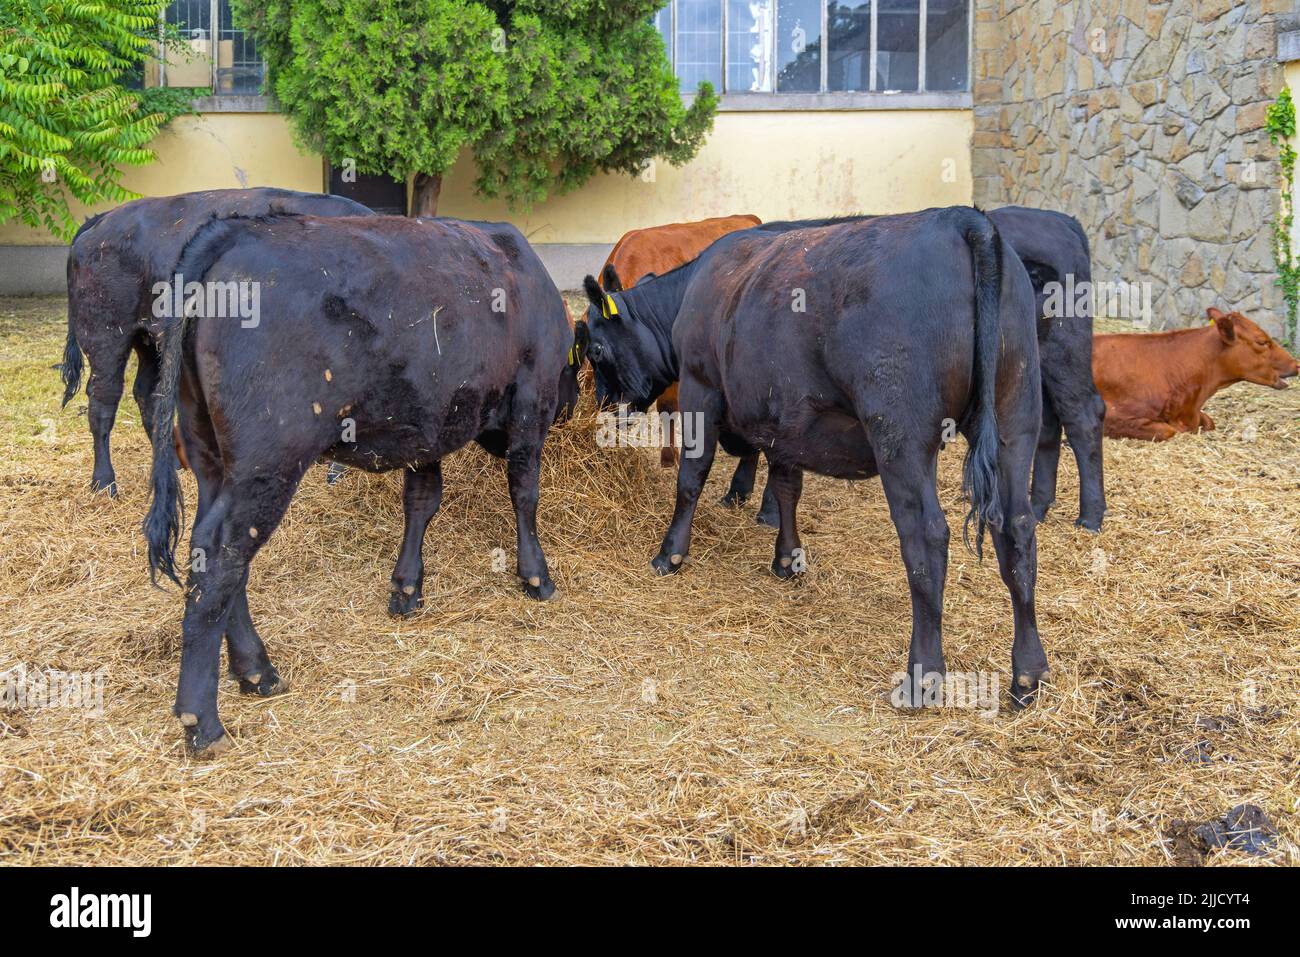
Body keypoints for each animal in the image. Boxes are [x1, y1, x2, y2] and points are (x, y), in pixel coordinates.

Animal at [62, 188, 374, 496]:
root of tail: (102, 220)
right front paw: (335, 470)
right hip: (105, 335)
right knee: (103, 400)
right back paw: (104, 483)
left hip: (149, 338)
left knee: (146, 393)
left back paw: (173, 463)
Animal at [143, 213, 578, 756]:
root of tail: (231, 230)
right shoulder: (530, 404)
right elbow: (524, 491)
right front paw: (536, 575)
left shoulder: (427, 425)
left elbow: (422, 501)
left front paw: (407, 588)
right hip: (269, 460)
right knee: (221, 555)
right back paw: (202, 720)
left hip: (211, 459)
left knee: (218, 554)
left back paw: (257, 671)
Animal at [575, 207, 1049, 706]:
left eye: (597, 349)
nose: (602, 412)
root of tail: (962, 219)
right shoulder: (785, 418)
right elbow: (787, 487)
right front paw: (786, 560)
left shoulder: (700, 386)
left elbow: (691, 476)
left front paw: (670, 554)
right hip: (1016, 419)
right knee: (1017, 529)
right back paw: (1027, 674)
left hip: (902, 435)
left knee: (927, 538)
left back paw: (922, 676)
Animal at [587, 207, 1108, 531]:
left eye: (594, 350)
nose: (601, 410)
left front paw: (758, 508)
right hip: (1027, 378)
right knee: (1049, 427)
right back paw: (1039, 505)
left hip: (1063, 350)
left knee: (1084, 415)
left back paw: (1090, 516)